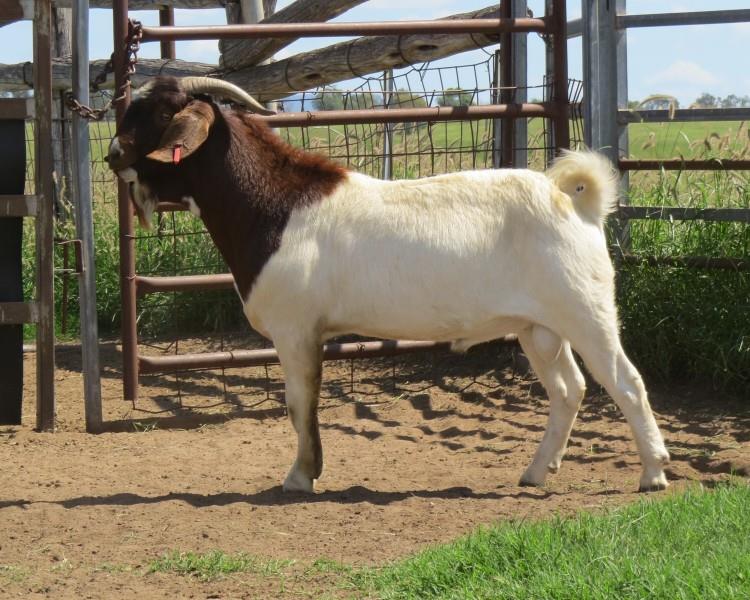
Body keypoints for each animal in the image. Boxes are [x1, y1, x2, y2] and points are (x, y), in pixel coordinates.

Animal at [107, 76, 670, 493]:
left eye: (160, 114)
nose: (112, 154)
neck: (278, 205)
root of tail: (574, 201)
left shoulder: (296, 331)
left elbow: (298, 403)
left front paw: (299, 477)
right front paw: (309, 471)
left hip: (585, 309)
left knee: (626, 382)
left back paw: (653, 473)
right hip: (539, 326)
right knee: (569, 389)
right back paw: (535, 472)